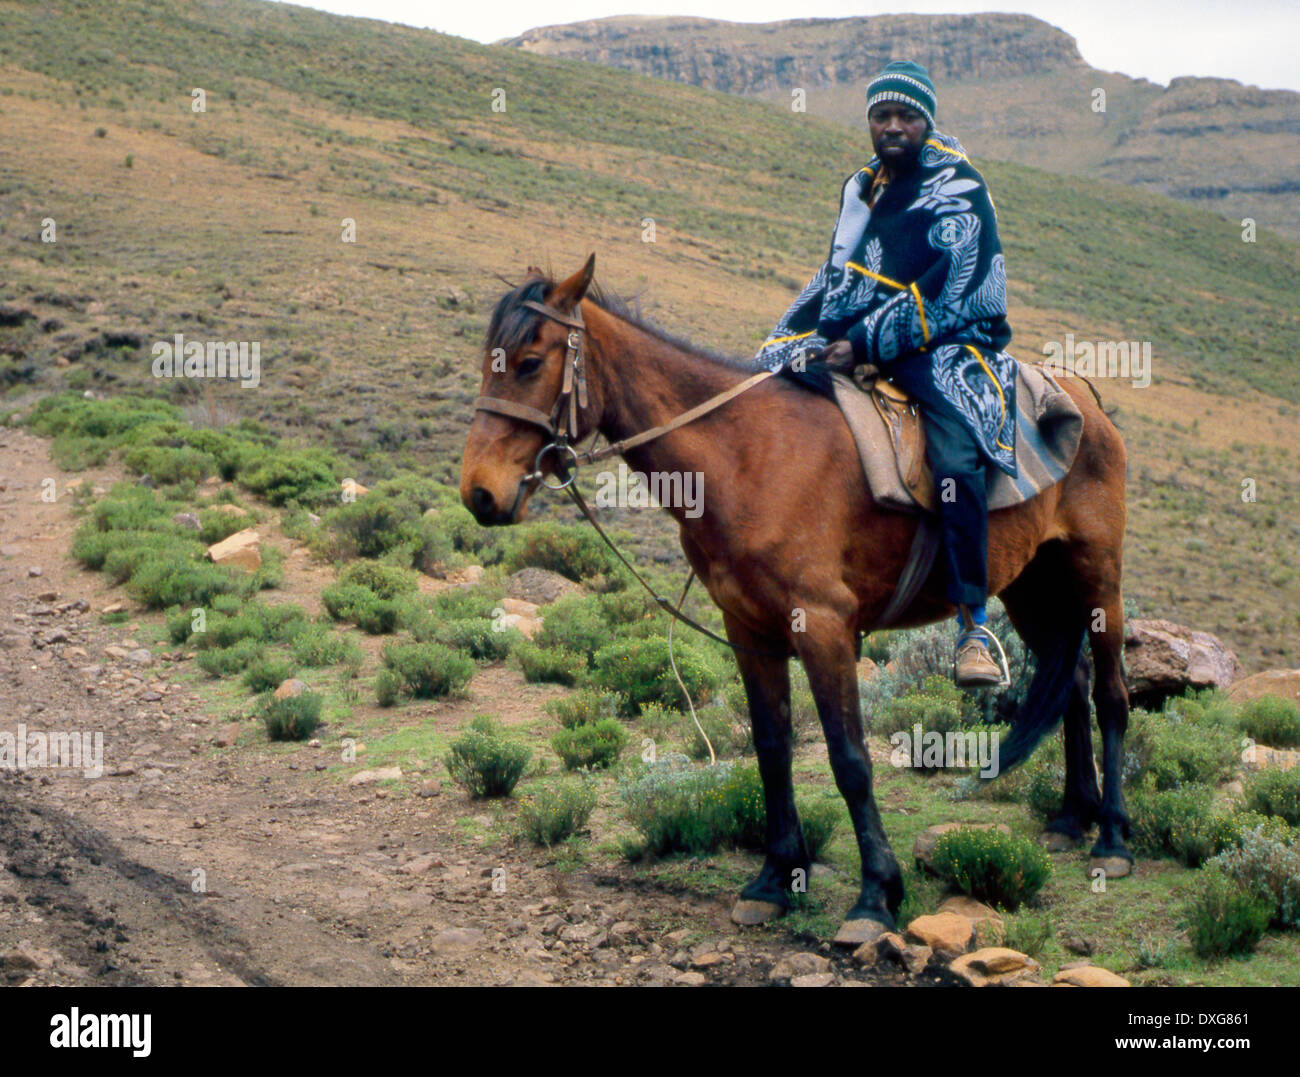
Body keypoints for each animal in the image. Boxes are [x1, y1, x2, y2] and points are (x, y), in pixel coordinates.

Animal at [459, 254, 1131, 940]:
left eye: (530, 362)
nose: (479, 493)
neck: (743, 459)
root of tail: (1086, 399)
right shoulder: (748, 630)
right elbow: (771, 748)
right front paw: (774, 879)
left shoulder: (824, 627)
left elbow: (849, 758)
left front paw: (876, 895)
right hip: (1029, 583)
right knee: (1071, 681)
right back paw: (1070, 818)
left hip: (1097, 575)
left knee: (1110, 694)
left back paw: (1111, 838)